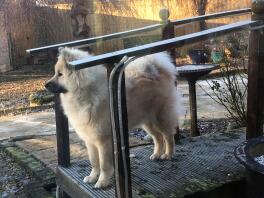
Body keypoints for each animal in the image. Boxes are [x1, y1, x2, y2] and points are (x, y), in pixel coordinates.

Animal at [45, 47, 182, 188]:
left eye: (60, 74)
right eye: (55, 73)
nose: (46, 84)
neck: (84, 93)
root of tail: (158, 73)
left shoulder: (103, 141)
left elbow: (104, 164)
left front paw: (102, 181)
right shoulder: (90, 140)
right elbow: (94, 162)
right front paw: (92, 177)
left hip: (160, 118)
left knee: (168, 136)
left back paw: (168, 154)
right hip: (147, 122)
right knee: (158, 137)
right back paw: (156, 154)